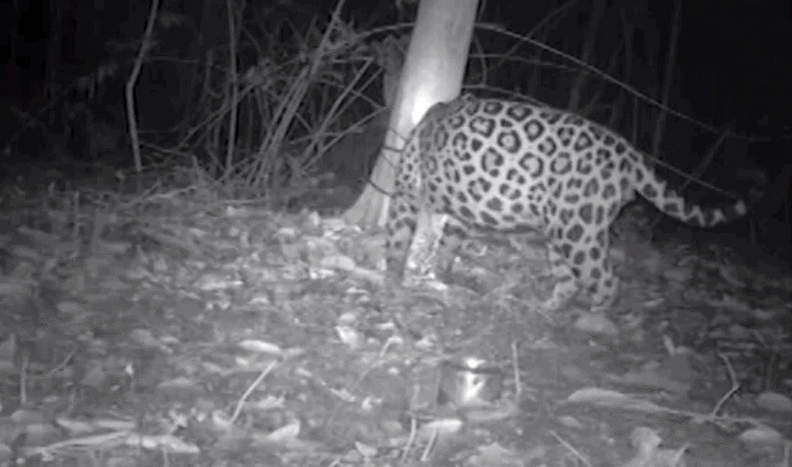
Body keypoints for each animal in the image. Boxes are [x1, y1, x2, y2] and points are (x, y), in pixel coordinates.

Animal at [385, 93, 748, 314]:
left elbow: (399, 238)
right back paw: (547, 307)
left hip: (579, 229)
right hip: (562, 229)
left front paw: (393, 276)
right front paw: (440, 273)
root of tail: (630, 154)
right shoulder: (461, 212)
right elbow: (449, 242)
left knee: (605, 278)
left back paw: (595, 316)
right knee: (571, 278)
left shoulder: (406, 195)